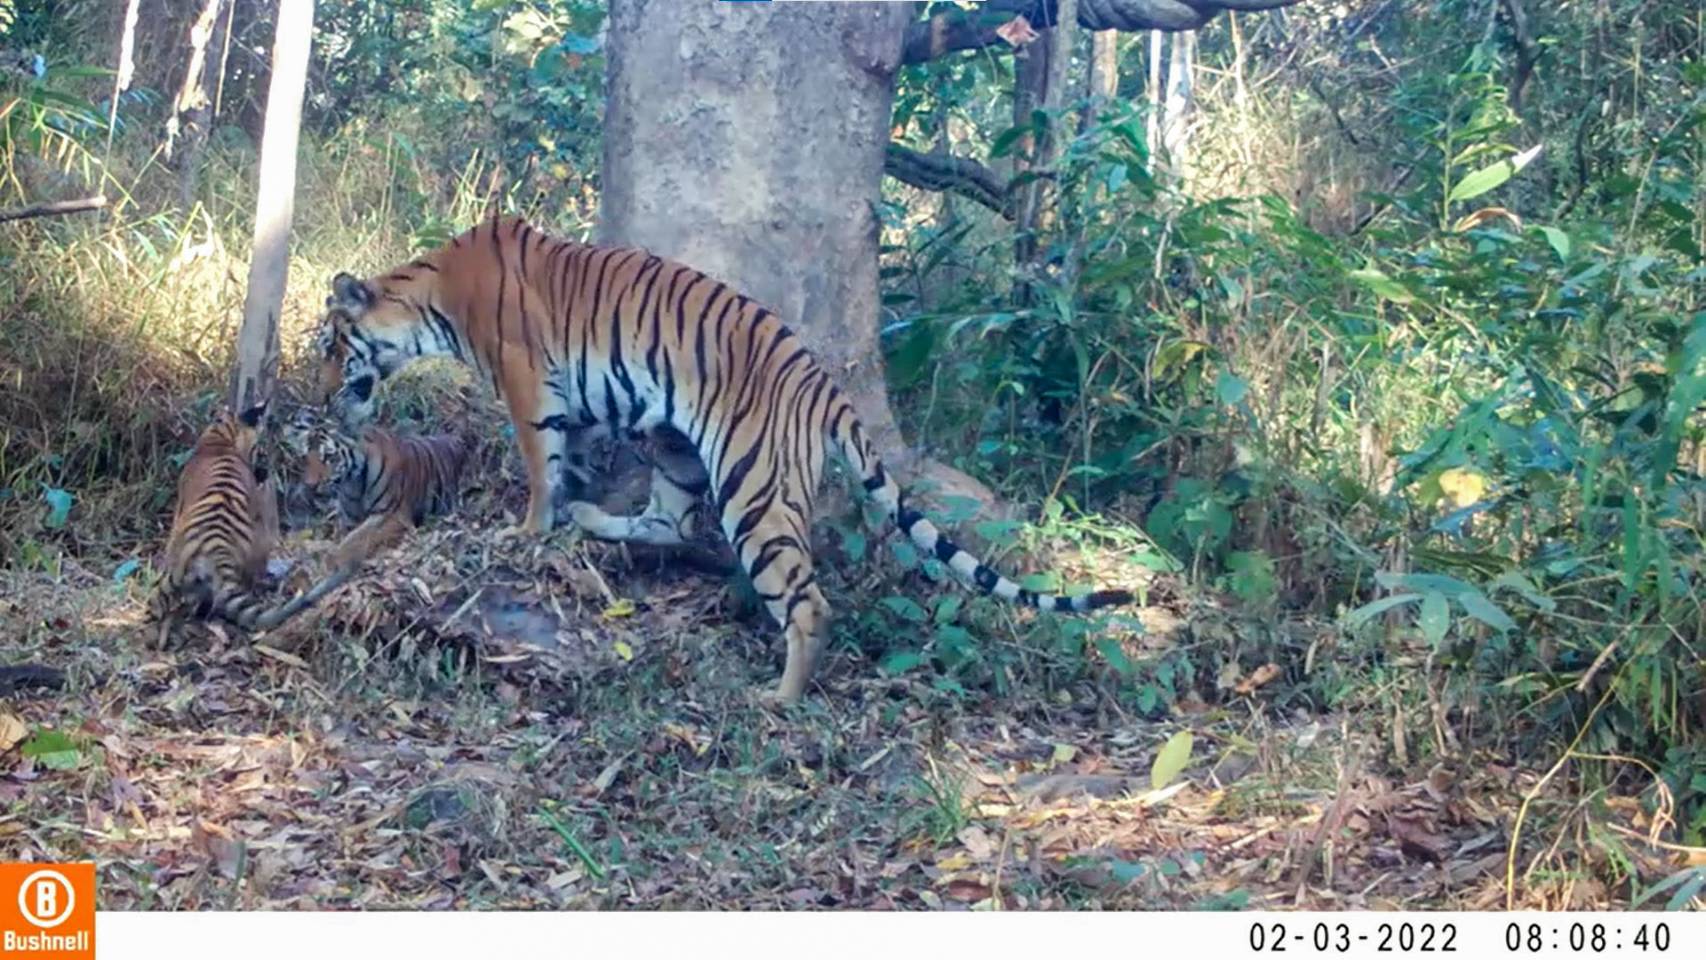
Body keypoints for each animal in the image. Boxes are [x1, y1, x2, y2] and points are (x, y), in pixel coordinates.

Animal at [153, 401, 342, 632]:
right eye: (261, 449)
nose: (265, 472)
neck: (221, 436)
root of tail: (217, 548)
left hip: (174, 571)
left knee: (159, 598)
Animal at [314, 215, 1133, 702]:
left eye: (330, 346)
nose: (321, 394)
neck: (431, 299)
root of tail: (822, 383)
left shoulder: (526, 383)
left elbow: (540, 465)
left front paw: (528, 529)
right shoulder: (577, 400)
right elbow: (569, 460)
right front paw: (563, 515)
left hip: (753, 489)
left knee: (805, 600)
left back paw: (782, 697)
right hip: (676, 443)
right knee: (671, 524)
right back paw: (597, 521)